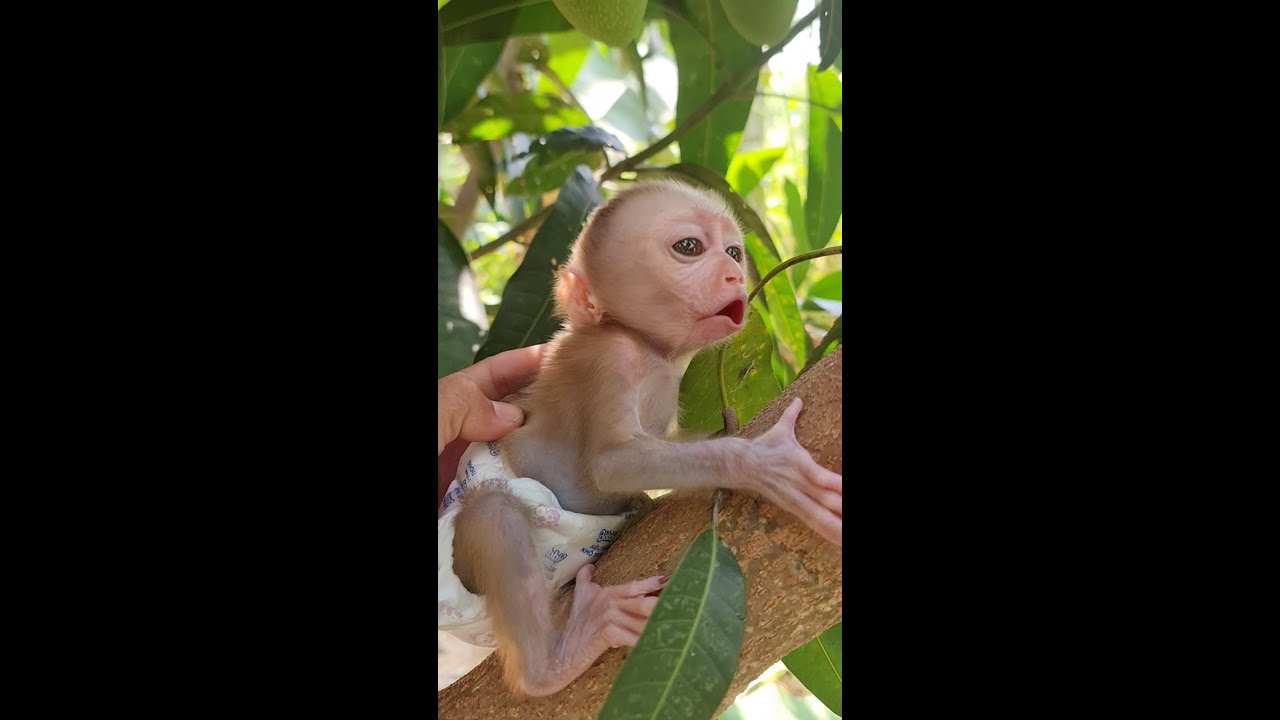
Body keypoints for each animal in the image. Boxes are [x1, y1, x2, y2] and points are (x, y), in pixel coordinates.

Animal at [437, 179, 842, 697]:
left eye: (734, 251)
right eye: (689, 247)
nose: (735, 275)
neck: (651, 350)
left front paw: (730, 429)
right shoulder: (610, 357)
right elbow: (614, 463)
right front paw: (765, 465)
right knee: (492, 511)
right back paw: (551, 666)